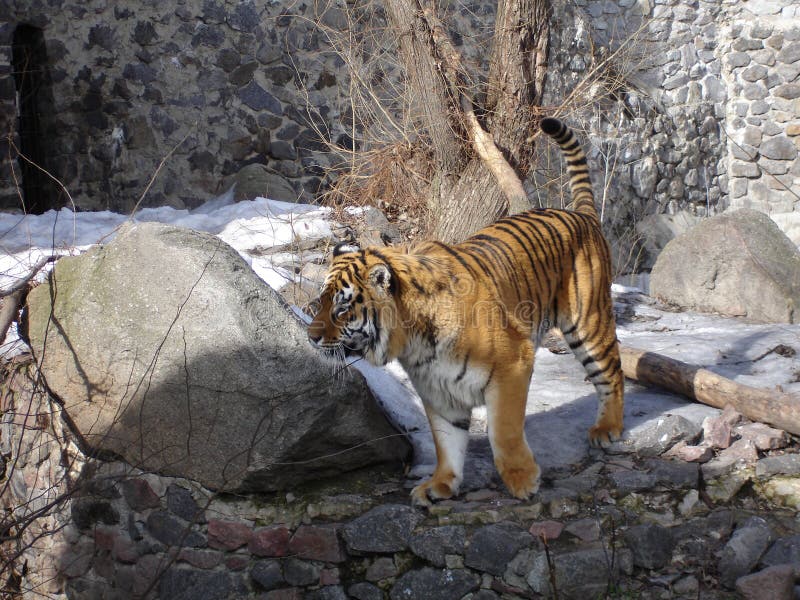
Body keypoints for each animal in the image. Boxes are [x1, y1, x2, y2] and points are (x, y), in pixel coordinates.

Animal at [307, 117, 624, 506]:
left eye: (341, 307)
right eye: (319, 303)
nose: (310, 336)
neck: (413, 344)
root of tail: (580, 214)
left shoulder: (512, 365)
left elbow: (503, 432)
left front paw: (522, 481)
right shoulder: (437, 389)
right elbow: (447, 442)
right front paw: (439, 485)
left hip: (588, 322)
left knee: (612, 374)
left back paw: (607, 429)